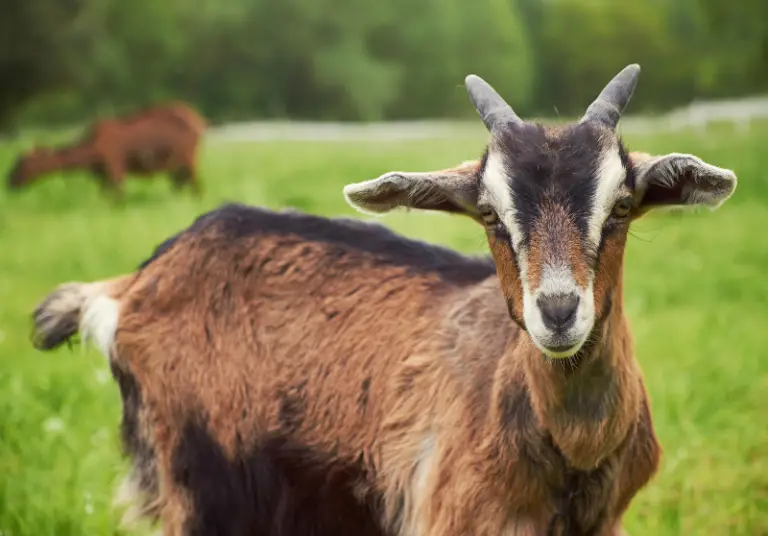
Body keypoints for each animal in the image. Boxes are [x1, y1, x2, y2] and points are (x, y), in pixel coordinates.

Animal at [7, 101, 206, 198]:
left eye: (21, 163)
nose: (9, 181)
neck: (89, 153)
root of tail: (199, 120)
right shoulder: (102, 175)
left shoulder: (116, 169)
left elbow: (117, 197)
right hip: (177, 164)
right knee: (181, 184)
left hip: (190, 158)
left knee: (196, 187)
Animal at [30, 64, 737, 535]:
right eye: (489, 213)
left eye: (621, 207)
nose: (559, 312)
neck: (571, 451)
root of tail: (133, 284)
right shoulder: (453, 517)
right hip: (201, 486)